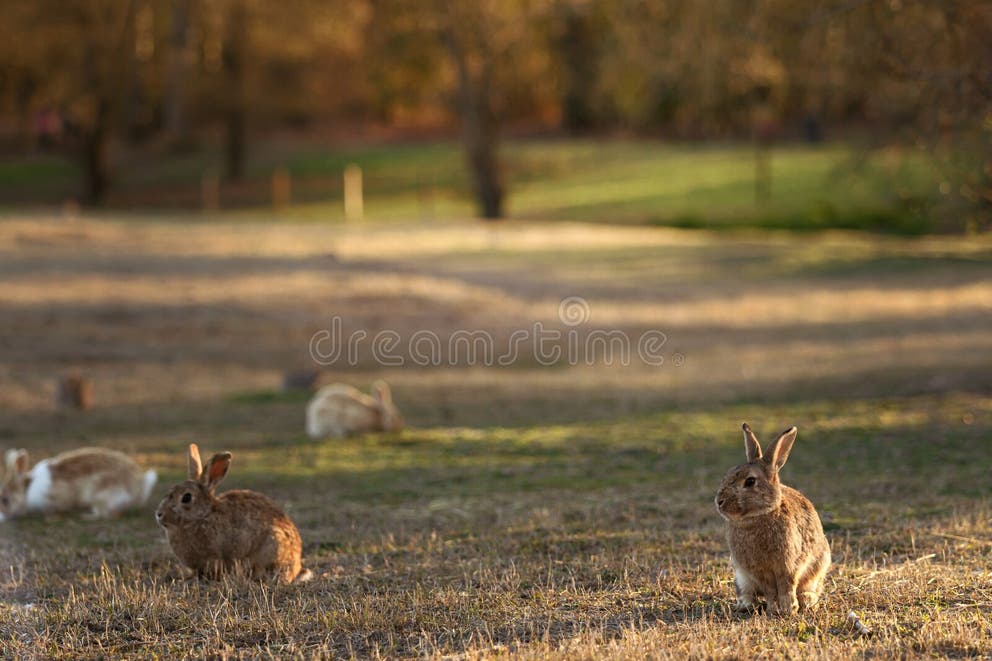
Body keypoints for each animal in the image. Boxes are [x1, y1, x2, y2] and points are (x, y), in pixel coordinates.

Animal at [0, 447, 157, 521]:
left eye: (5, 500)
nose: (2, 517)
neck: (26, 491)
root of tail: (141, 487)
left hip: (101, 497)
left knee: (105, 514)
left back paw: (86, 516)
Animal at [715, 423, 830, 616]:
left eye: (750, 481)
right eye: (727, 475)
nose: (719, 501)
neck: (759, 516)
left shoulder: (788, 565)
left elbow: (787, 586)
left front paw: (788, 608)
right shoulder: (759, 571)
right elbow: (770, 590)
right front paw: (774, 608)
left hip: (818, 569)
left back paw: (807, 600)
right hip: (742, 577)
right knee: (748, 592)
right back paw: (745, 605)